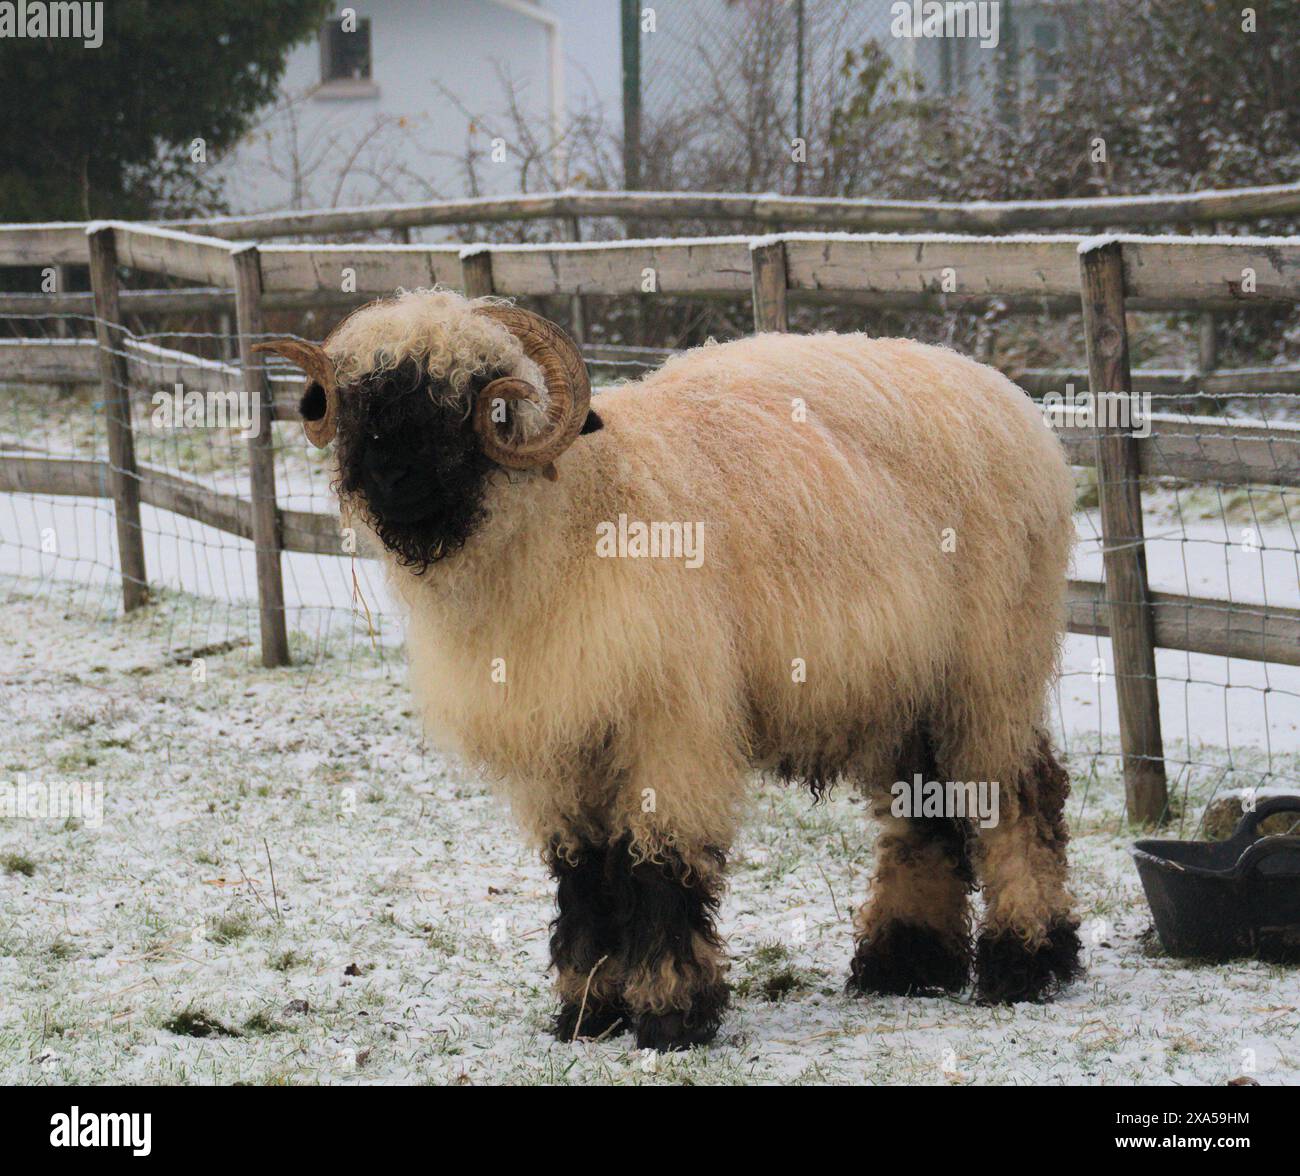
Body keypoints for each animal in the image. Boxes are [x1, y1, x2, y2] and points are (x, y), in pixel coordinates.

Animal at [256, 288, 1082, 1050]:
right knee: (923, 811)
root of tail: (1007, 396)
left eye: (474, 397)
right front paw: (587, 1011)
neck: (576, 515)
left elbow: (658, 865)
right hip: (902, 684)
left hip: (991, 667)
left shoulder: (673, 725)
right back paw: (905, 966)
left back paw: (1025, 963)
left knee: (1019, 793)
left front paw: (670, 1015)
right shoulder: (560, 743)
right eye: (359, 398)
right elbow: (585, 875)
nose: (391, 478)